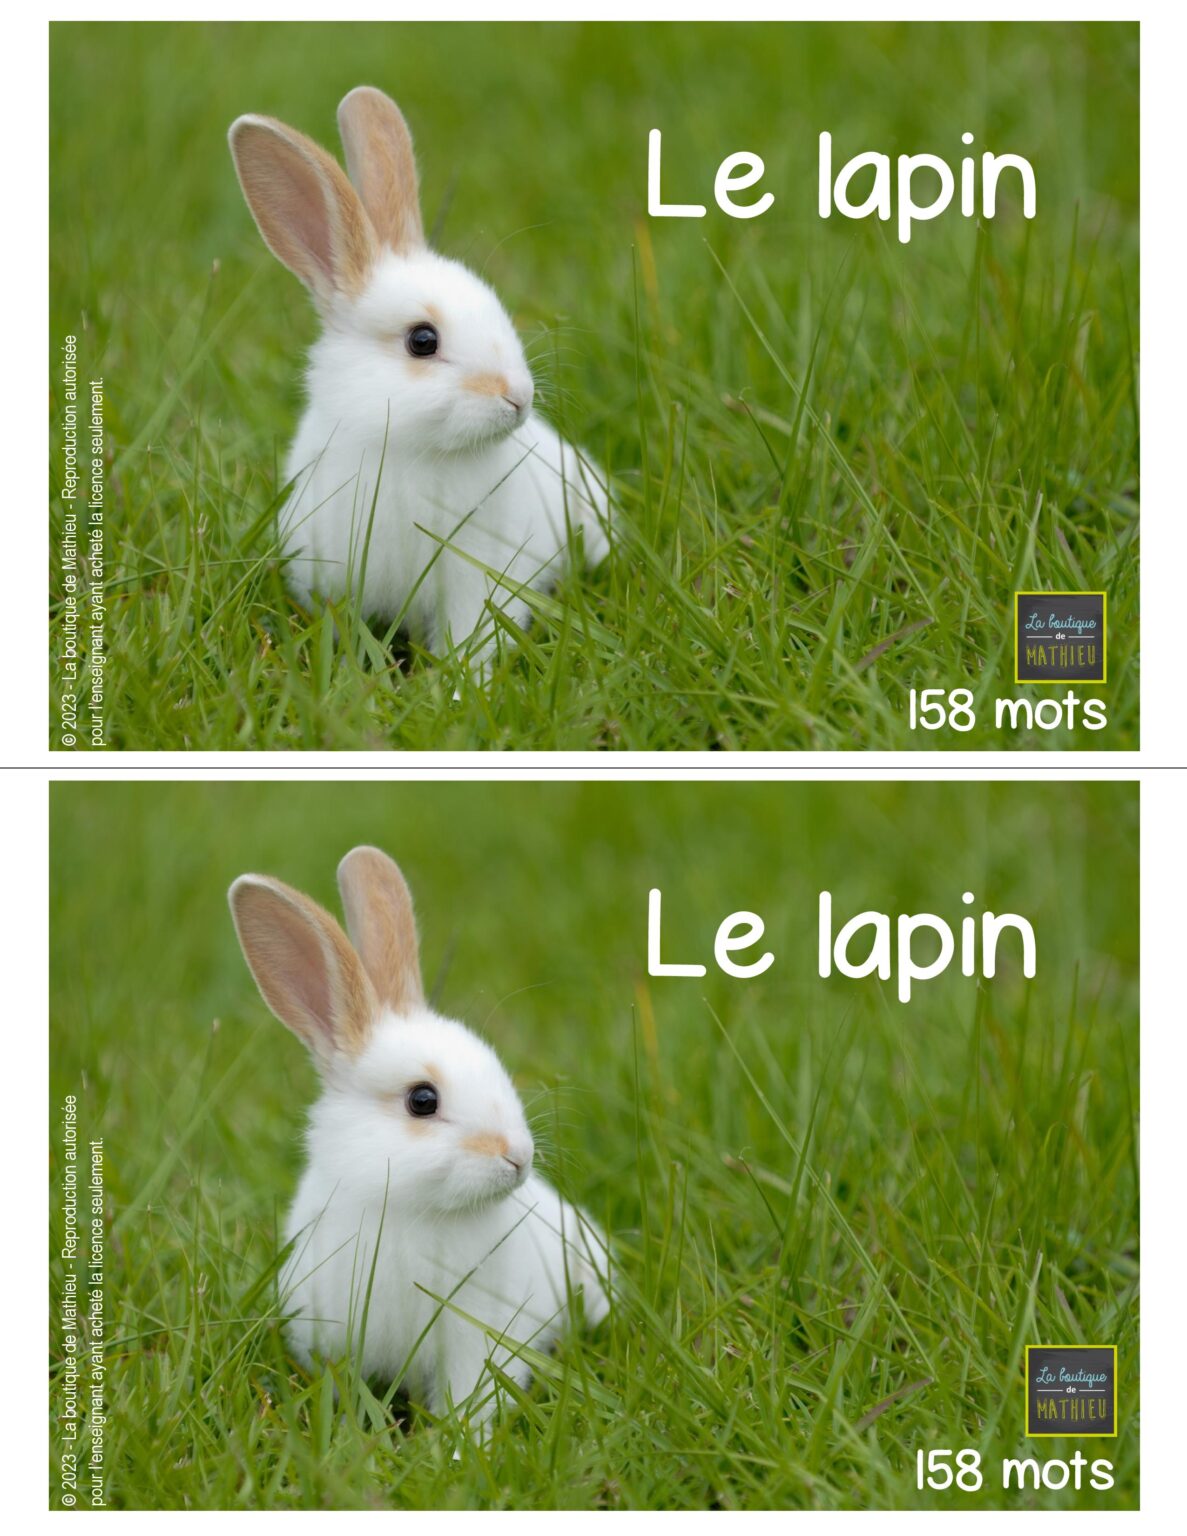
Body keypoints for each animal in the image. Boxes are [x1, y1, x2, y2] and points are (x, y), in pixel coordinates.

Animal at [228, 87, 611, 670]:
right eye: (422, 341)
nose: (518, 398)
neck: (408, 450)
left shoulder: (476, 577)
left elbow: (471, 636)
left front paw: (461, 684)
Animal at [228, 845, 611, 1431]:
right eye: (422, 1100)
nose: (518, 1157)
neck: (408, 1210)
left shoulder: (476, 1336)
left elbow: (471, 1395)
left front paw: (461, 1443)